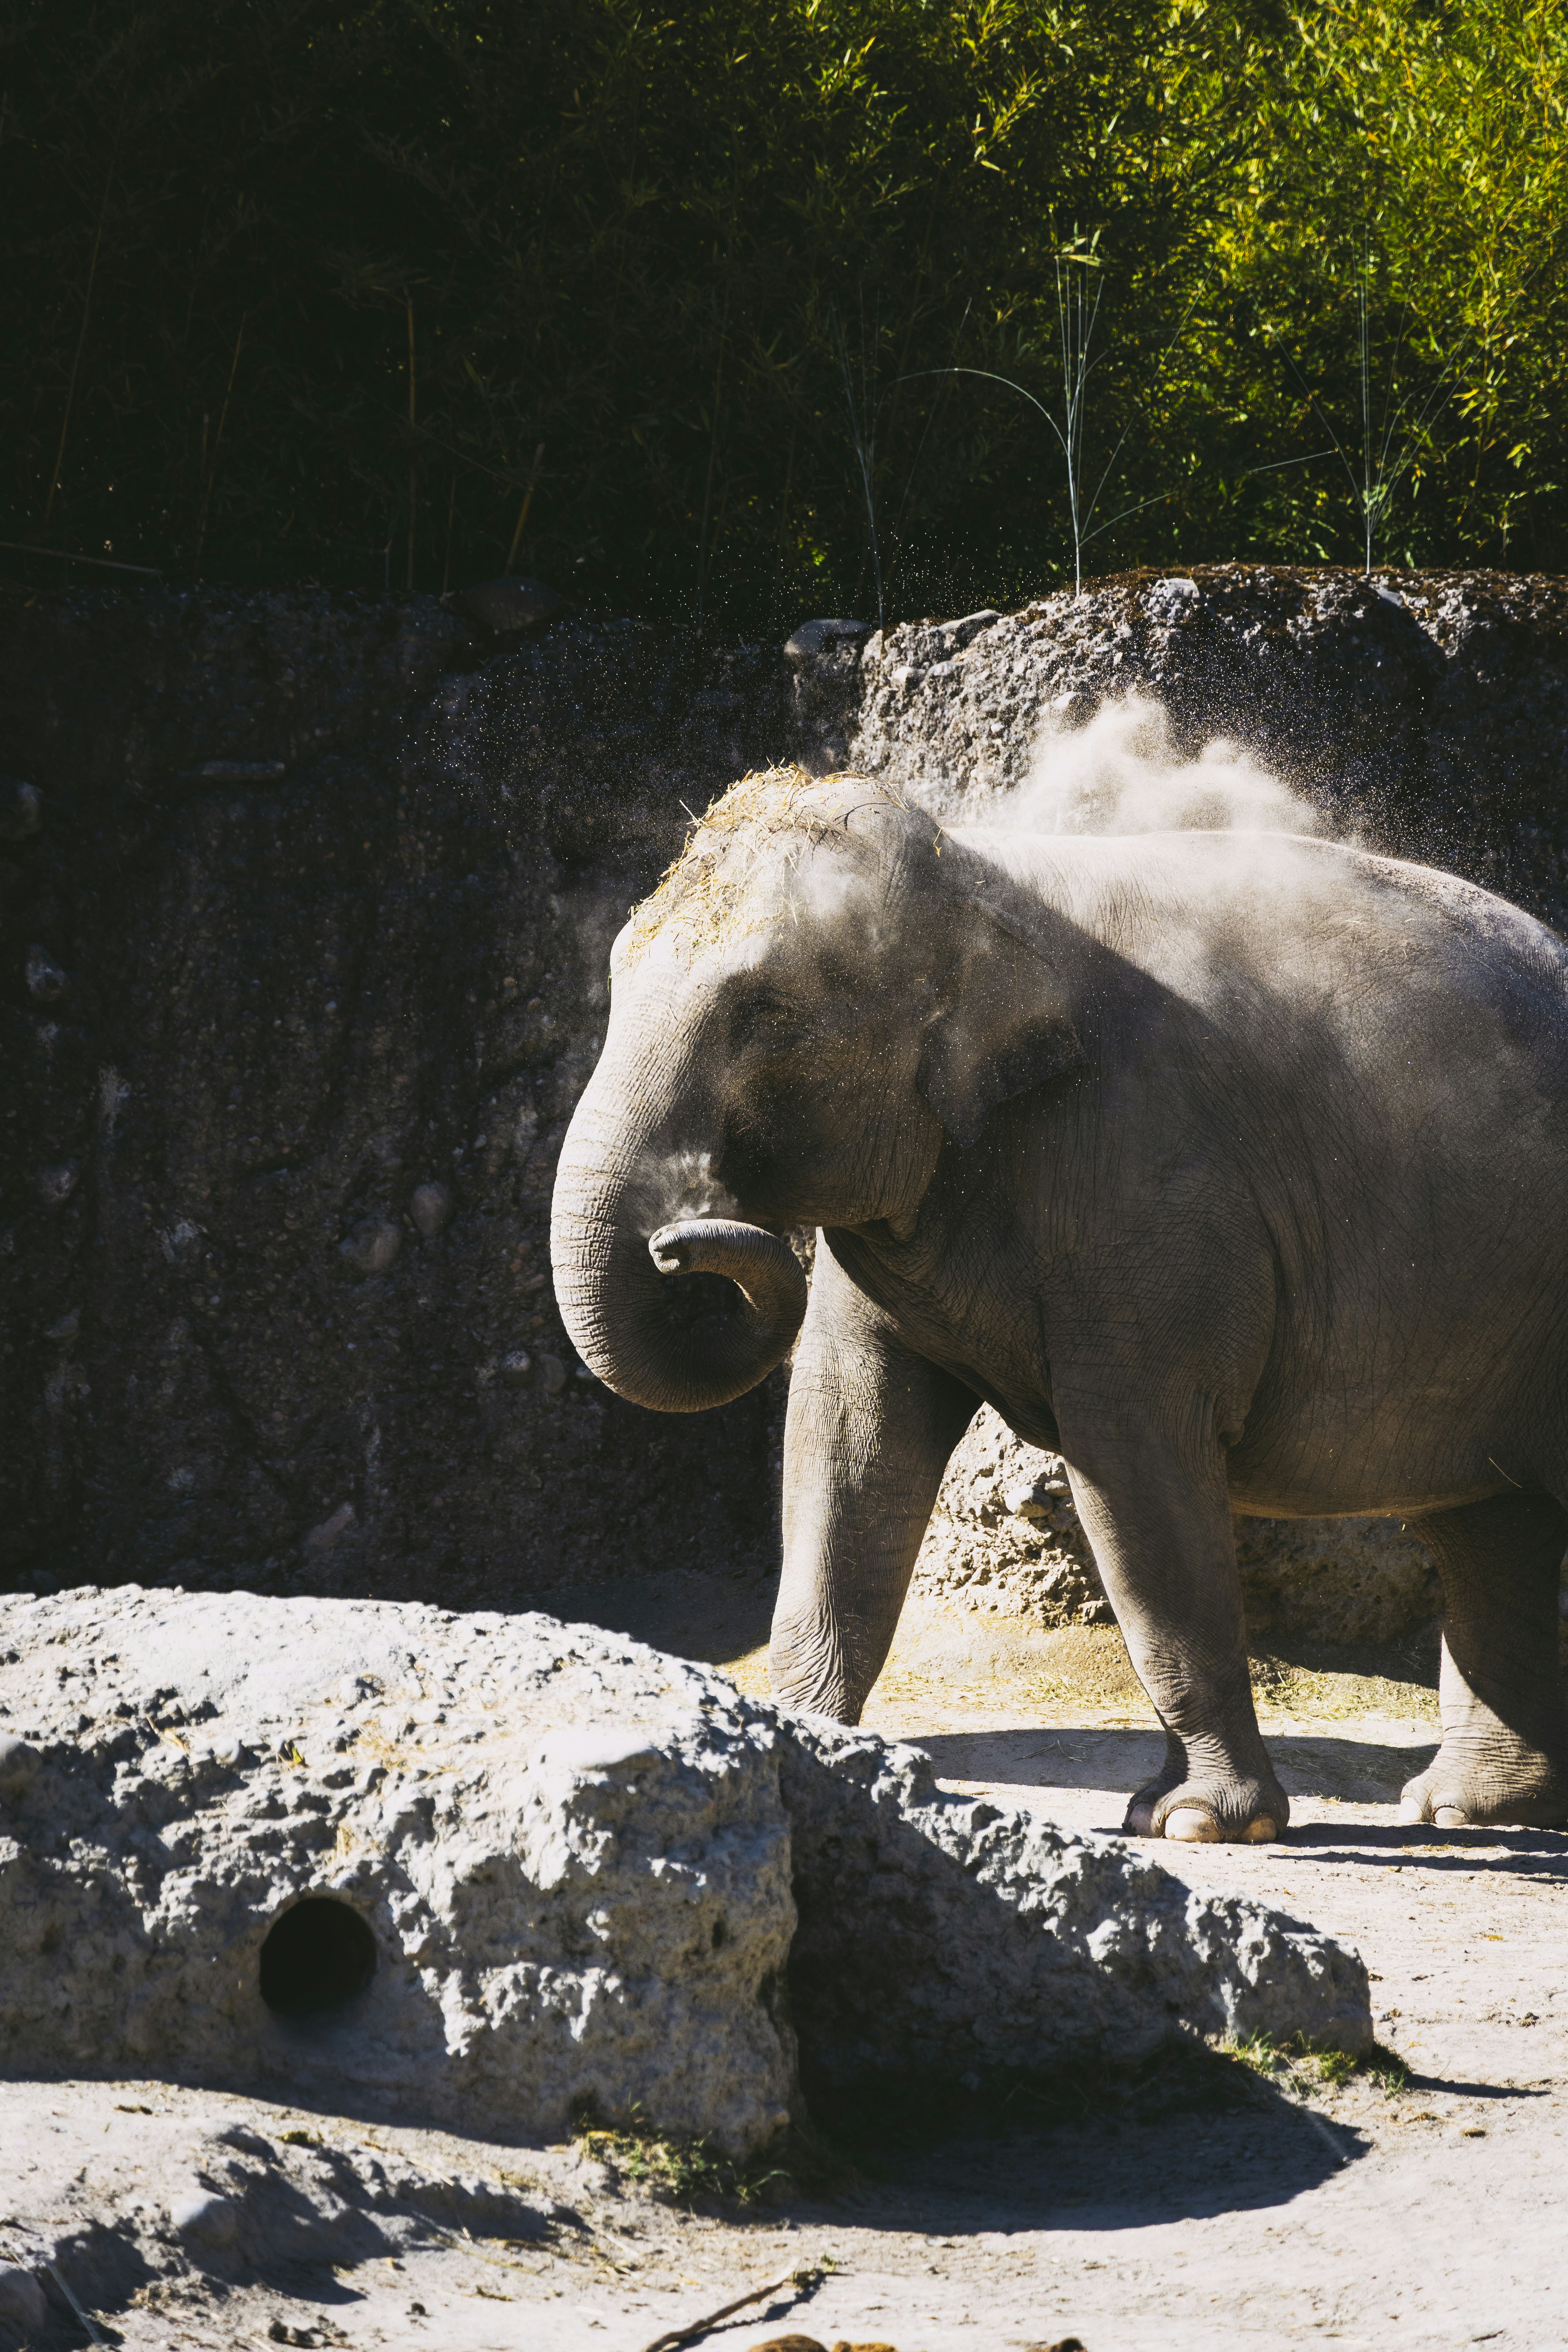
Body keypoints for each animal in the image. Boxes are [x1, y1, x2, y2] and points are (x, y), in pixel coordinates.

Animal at [550, 767, 1568, 1841]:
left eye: (767, 1011)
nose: (676, 1240)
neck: (980, 875)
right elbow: (846, 1433)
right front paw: (806, 1747)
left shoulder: (1150, 1179)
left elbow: (1131, 1459)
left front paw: (1194, 1824)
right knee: (1487, 1528)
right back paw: (1463, 1810)